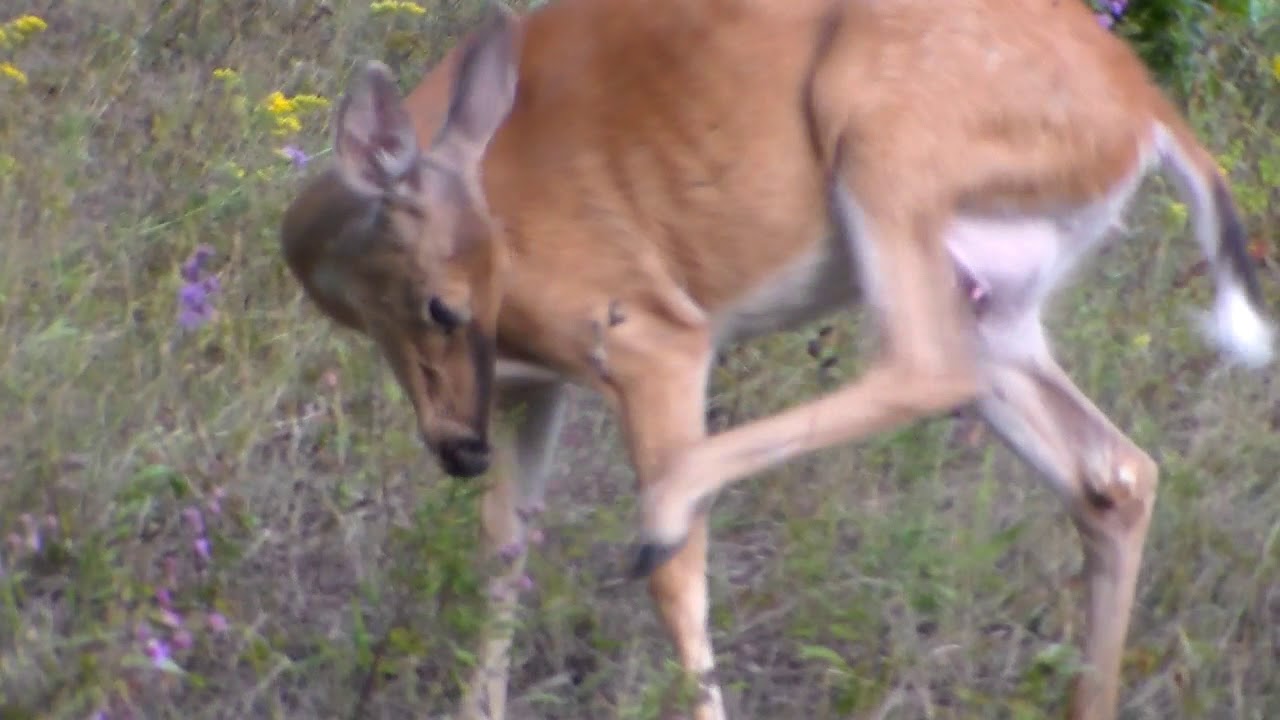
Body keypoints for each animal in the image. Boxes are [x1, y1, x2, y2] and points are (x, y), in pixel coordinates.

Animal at [278, 0, 1274, 718]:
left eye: (449, 305)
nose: (458, 444)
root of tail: (1148, 113)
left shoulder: (651, 336)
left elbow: (676, 581)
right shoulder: (534, 391)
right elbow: (501, 554)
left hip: (887, 145)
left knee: (925, 368)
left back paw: (663, 509)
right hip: (1000, 291)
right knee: (1114, 470)